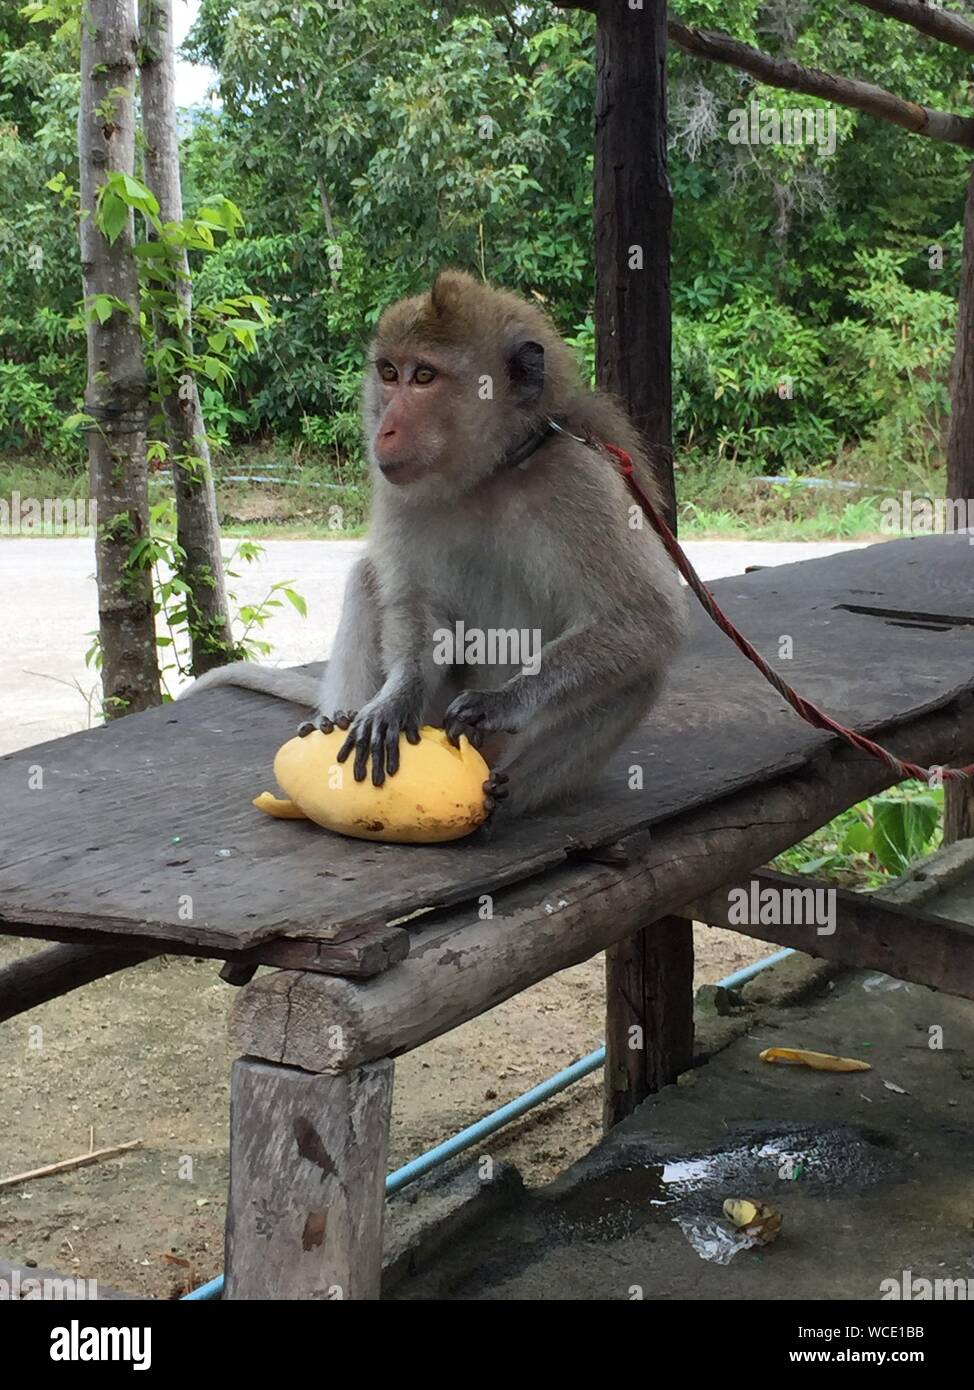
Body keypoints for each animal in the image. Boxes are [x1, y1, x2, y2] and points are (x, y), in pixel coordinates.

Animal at [182, 270, 689, 818]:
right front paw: (395, 698)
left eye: (424, 377)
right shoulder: (396, 492)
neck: (489, 476)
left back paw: (505, 795)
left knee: (640, 669)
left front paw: (504, 700)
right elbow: (414, 604)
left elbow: (645, 617)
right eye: (389, 373)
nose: (384, 430)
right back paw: (335, 721)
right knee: (370, 579)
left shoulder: (580, 479)